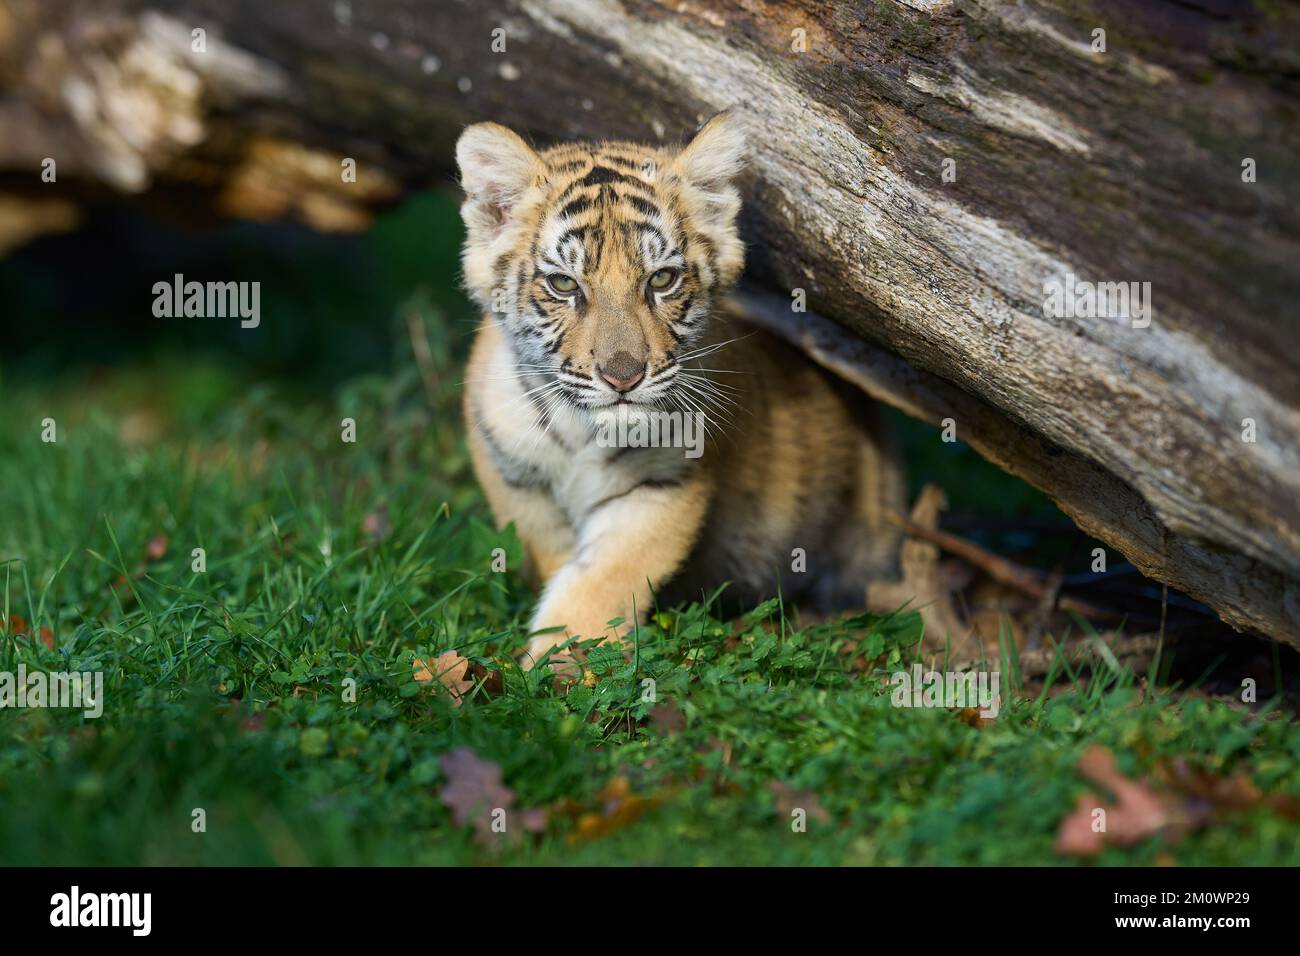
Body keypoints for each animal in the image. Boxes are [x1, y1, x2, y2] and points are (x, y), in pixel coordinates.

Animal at [456, 113, 905, 668]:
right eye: (564, 285)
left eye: (662, 279)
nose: (623, 375)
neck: (583, 433)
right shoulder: (517, 480)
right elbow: (556, 557)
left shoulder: (665, 485)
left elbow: (604, 579)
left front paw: (566, 662)